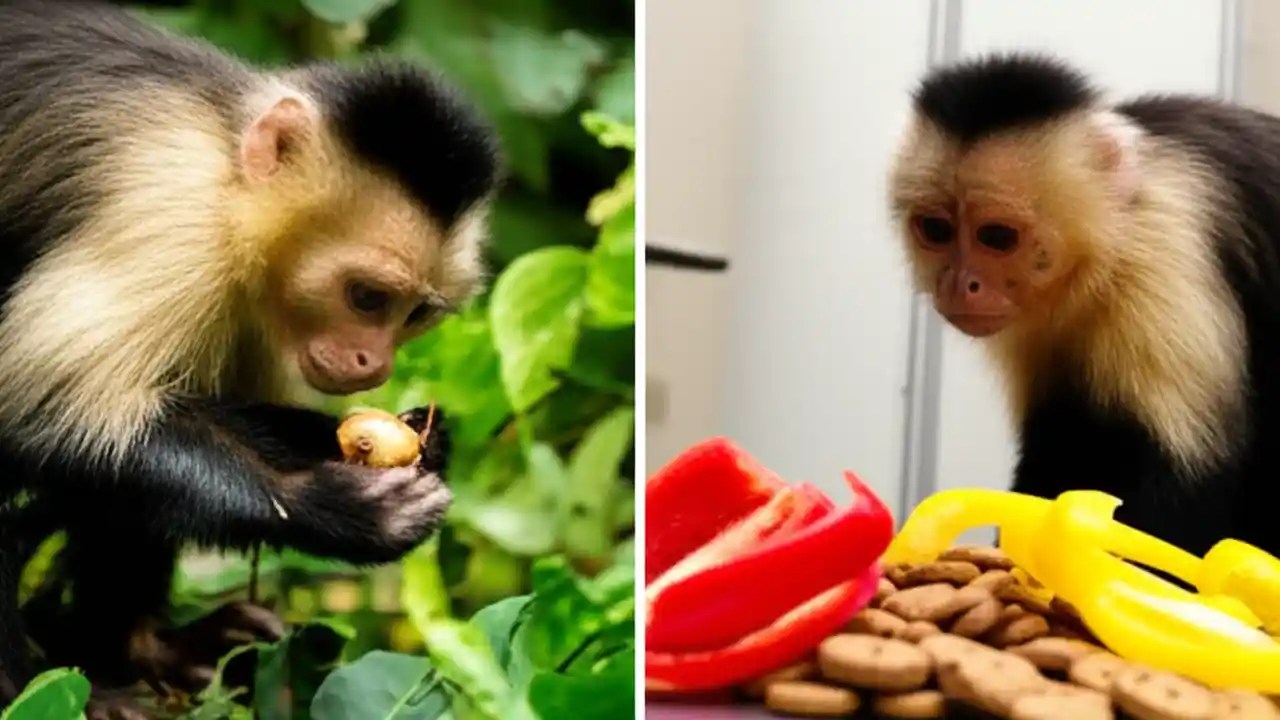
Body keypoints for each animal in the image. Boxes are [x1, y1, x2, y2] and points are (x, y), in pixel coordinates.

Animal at [0, 0, 501, 715]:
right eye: (368, 297)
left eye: (416, 314)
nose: (371, 363)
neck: (230, 181)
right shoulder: (170, 217)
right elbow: (42, 415)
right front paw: (331, 509)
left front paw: (413, 442)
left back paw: (143, 652)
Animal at [888, 52, 1280, 566]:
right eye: (935, 229)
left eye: (997, 236)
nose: (960, 284)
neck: (1107, 242)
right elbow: (1059, 437)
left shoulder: (1165, 248)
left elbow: (1184, 482)